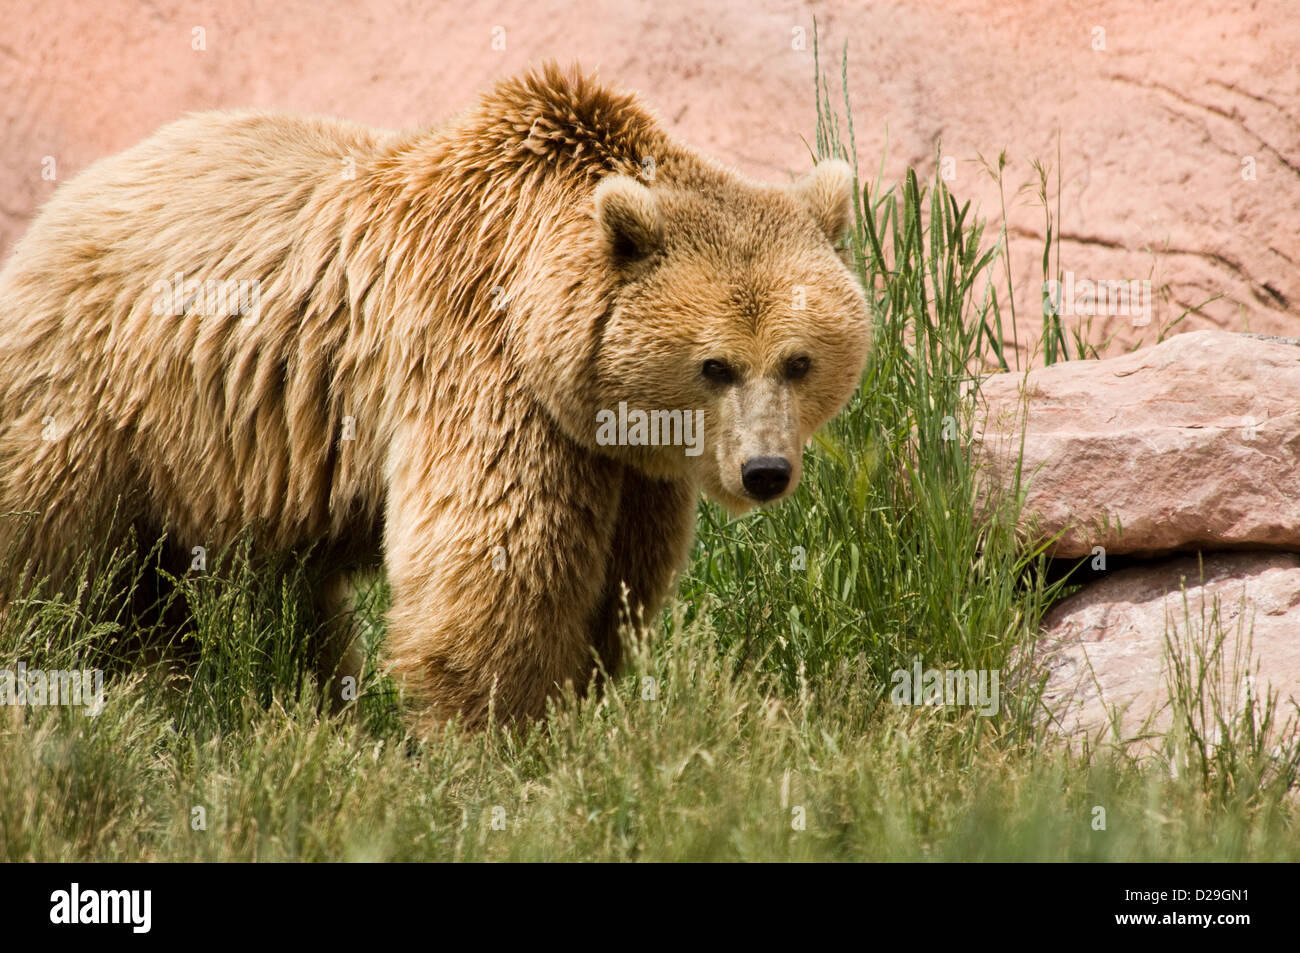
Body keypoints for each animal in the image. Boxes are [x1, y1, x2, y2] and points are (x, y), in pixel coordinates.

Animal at [0, 64, 871, 730]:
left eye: (798, 361)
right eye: (715, 365)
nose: (765, 471)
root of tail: (62, 204)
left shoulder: (621, 467)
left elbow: (614, 589)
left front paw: (575, 707)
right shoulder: (483, 370)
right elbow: (495, 565)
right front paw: (492, 736)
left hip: (237, 459)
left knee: (266, 594)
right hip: (97, 392)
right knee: (52, 549)